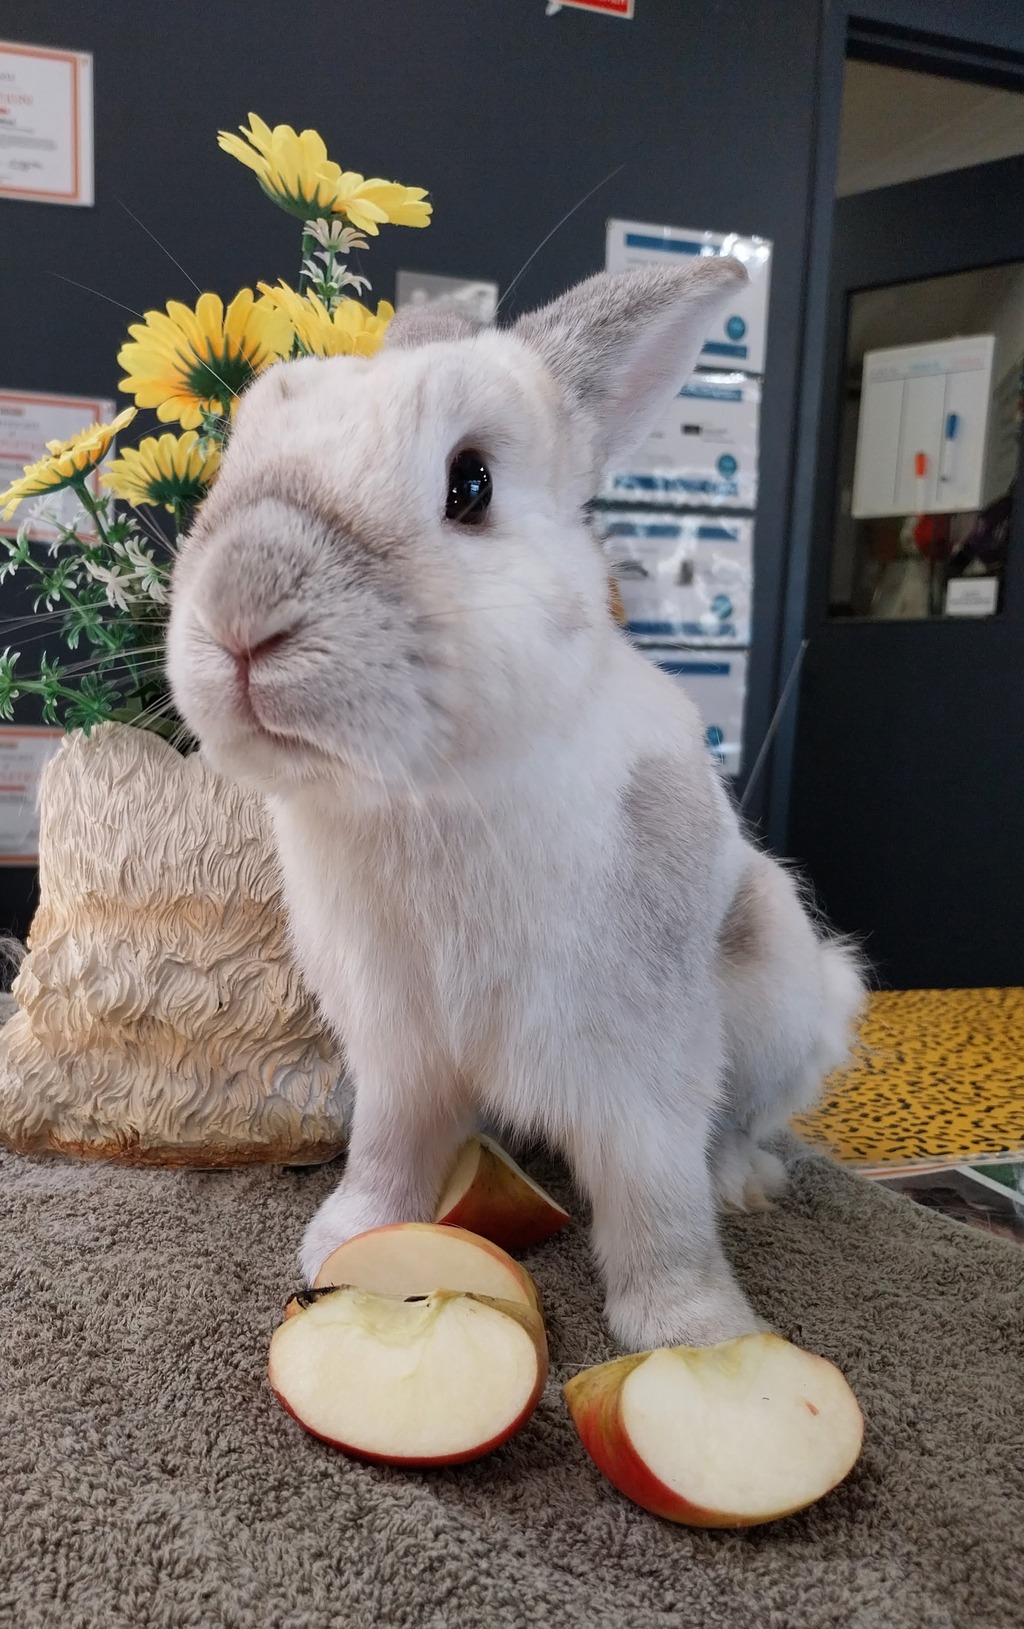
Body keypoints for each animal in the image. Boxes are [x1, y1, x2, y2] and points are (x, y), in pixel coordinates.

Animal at [166, 257, 864, 1351]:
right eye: (234, 462)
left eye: (471, 484)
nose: (241, 615)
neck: (422, 794)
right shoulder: (397, 1047)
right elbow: (388, 1149)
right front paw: (346, 1239)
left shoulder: (640, 1055)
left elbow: (655, 1190)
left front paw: (693, 1329)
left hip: (791, 1002)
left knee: (735, 1132)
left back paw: (745, 1184)